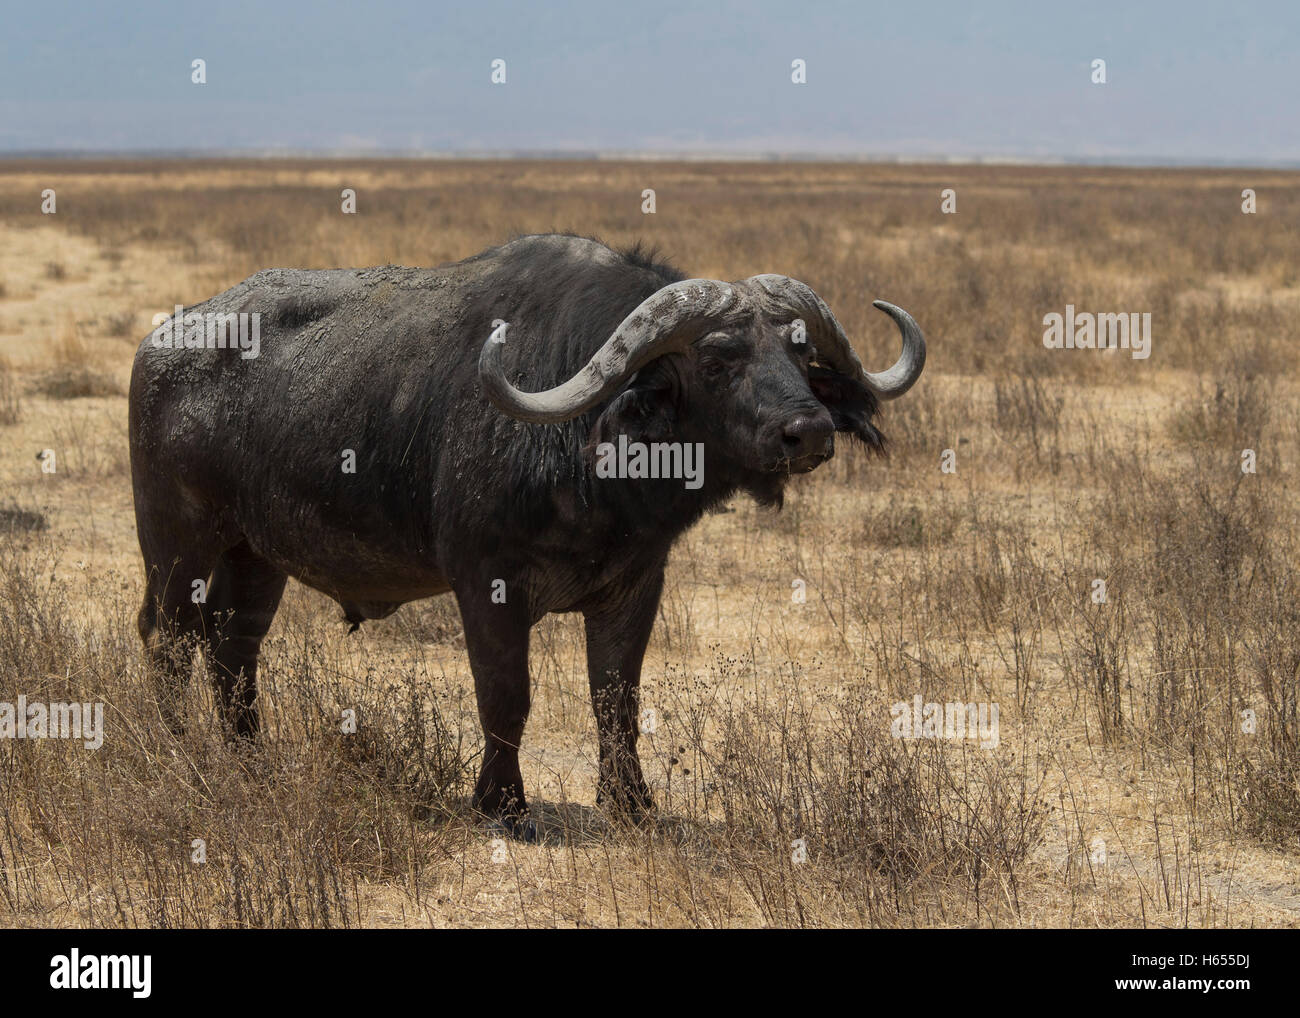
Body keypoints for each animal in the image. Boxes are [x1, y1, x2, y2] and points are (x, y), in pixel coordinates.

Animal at [129, 233, 925, 836]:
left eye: (799, 352)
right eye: (719, 358)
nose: (809, 430)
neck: (588, 446)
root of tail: (166, 340)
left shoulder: (635, 584)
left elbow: (616, 698)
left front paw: (632, 804)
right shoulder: (486, 583)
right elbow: (506, 696)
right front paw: (503, 806)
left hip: (256, 555)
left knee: (233, 648)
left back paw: (249, 761)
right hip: (176, 545)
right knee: (168, 640)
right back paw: (179, 755)